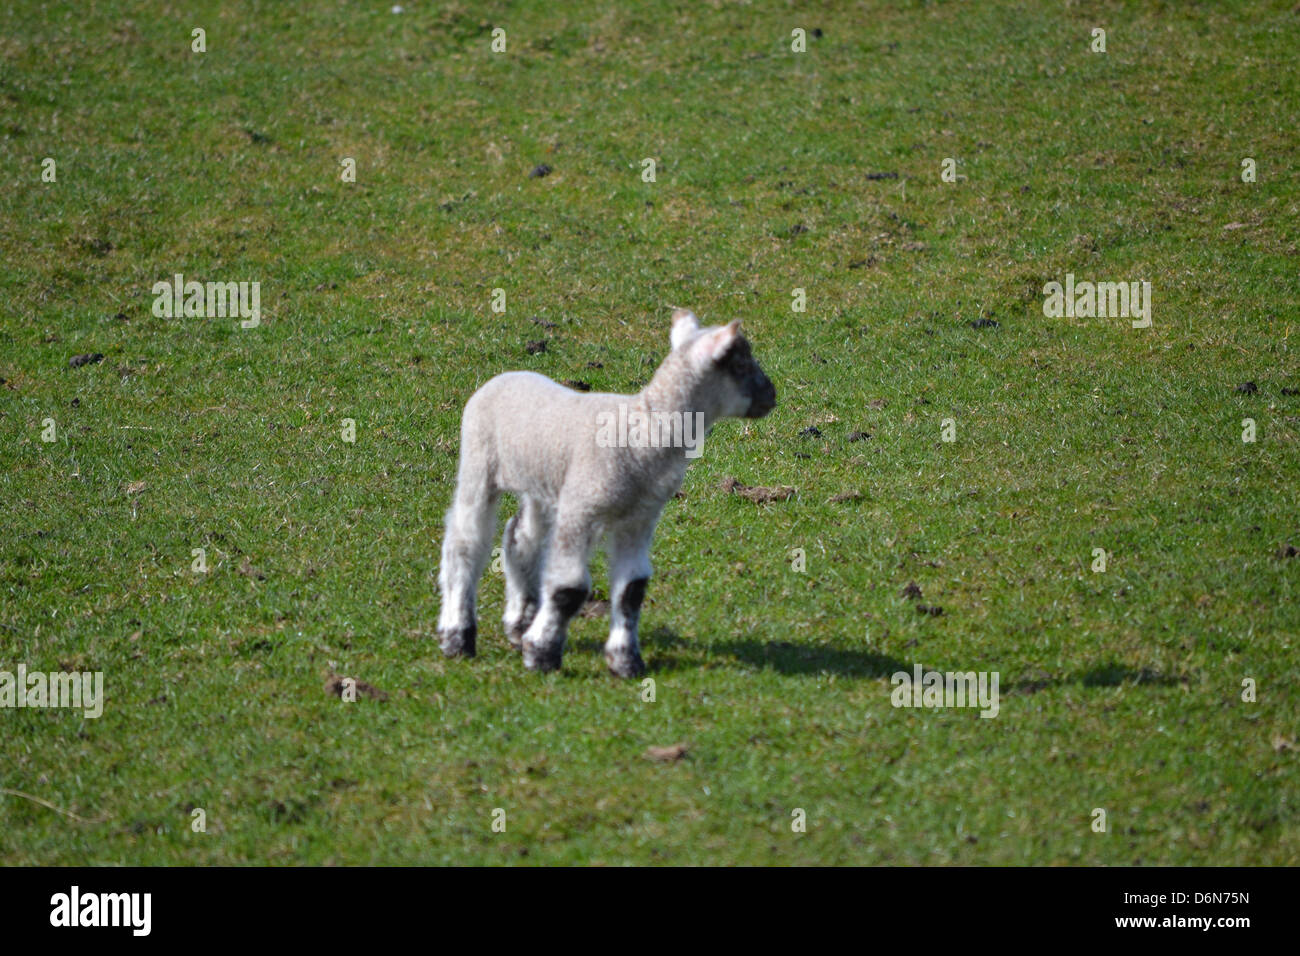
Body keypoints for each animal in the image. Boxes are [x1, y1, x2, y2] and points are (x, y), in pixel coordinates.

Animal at [437, 308, 776, 676]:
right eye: (740, 363)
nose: (772, 395)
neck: (645, 430)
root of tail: (503, 377)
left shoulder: (639, 518)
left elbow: (632, 590)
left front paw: (626, 661)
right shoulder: (580, 509)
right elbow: (568, 589)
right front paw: (542, 654)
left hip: (544, 480)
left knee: (521, 538)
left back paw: (519, 622)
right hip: (479, 463)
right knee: (464, 543)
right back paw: (458, 637)